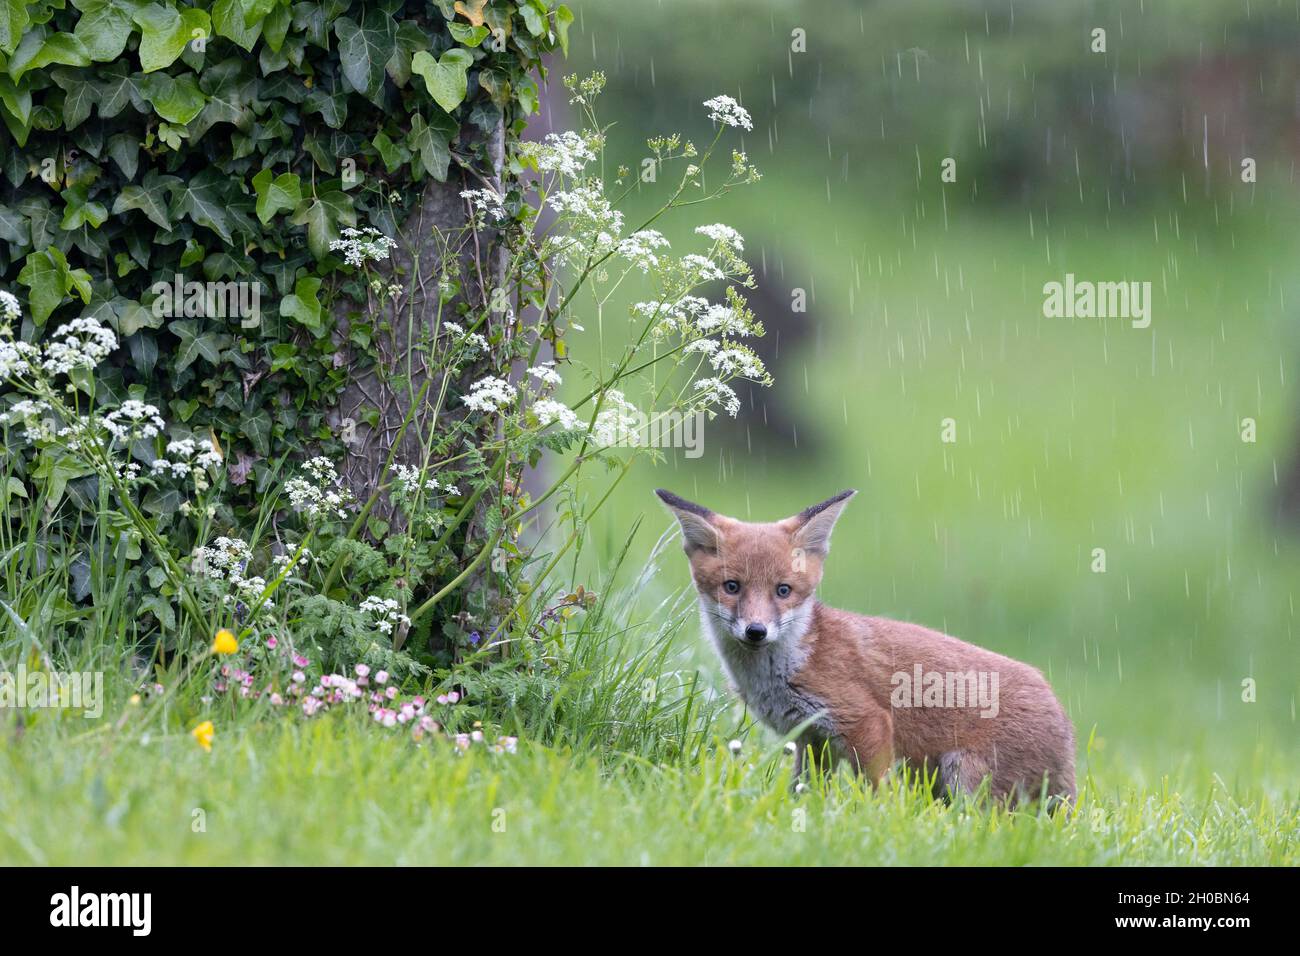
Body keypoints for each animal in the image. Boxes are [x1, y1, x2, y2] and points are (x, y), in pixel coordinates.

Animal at [656, 488, 1076, 806]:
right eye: (732, 587)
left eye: (783, 590)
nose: (756, 631)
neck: (791, 664)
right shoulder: (813, 739)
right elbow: (804, 791)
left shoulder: (865, 722)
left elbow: (877, 793)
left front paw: (878, 821)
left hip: (967, 780)